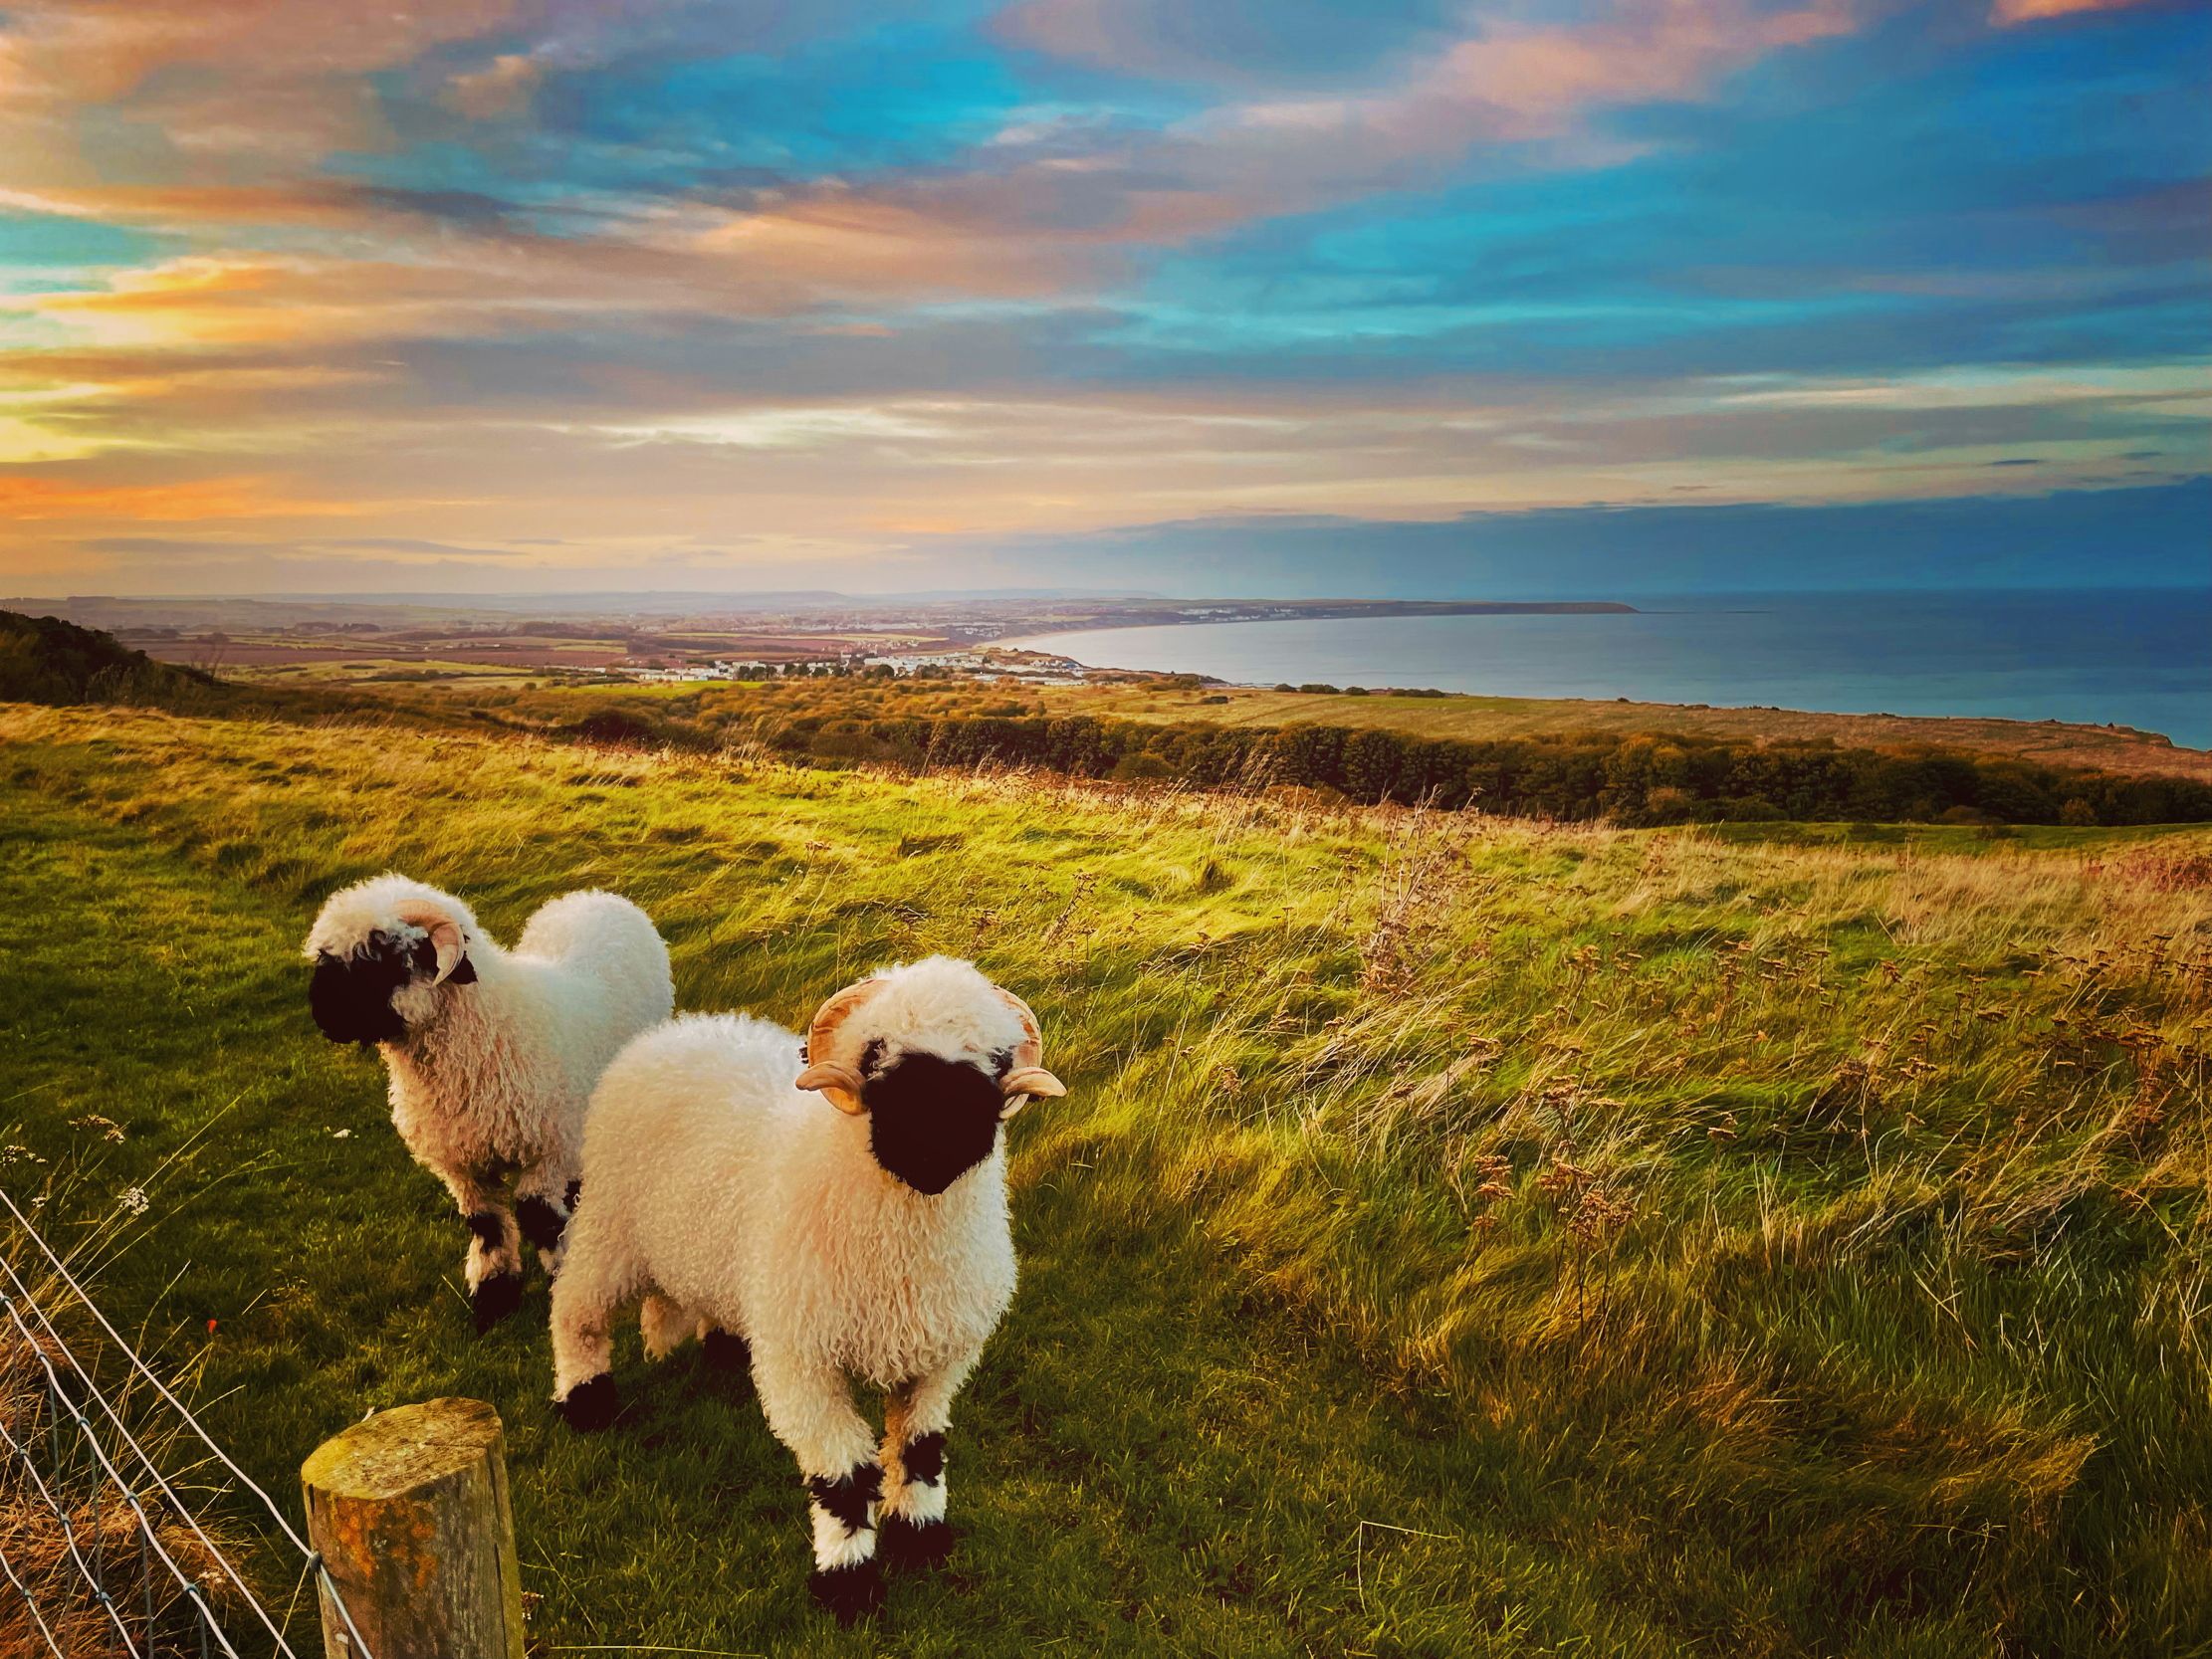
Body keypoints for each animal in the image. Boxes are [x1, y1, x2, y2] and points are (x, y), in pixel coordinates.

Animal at [303, 873, 673, 1331]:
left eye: (381, 955)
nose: (322, 1013)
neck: (489, 1034)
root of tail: (595, 896)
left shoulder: (548, 1150)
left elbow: (538, 1217)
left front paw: (559, 1276)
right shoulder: (464, 1166)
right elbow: (486, 1225)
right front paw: (493, 1295)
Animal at [547, 955, 1065, 1622]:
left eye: (997, 1061)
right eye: (875, 1052)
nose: (936, 1139)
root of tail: (679, 1030)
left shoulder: (940, 1358)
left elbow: (920, 1449)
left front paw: (920, 1538)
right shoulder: (804, 1362)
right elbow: (842, 1475)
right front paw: (849, 1581)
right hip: (612, 1225)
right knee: (575, 1308)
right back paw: (585, 1399)